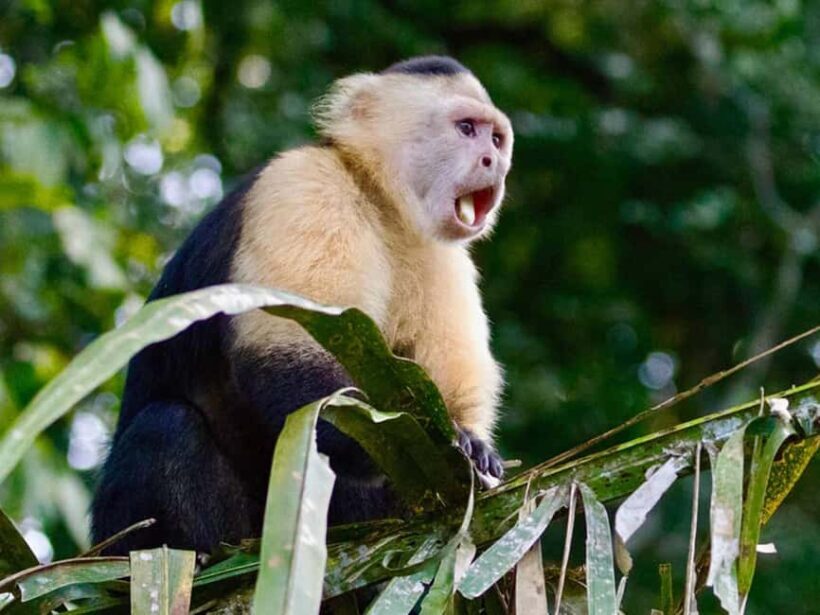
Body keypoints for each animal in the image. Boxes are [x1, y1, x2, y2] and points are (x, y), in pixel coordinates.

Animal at [91, 56, 514, 555]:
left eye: (496, 139)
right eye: (466, 129)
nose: (495, 162)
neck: (379, 197)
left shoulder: (443, 255)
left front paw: (469, 443)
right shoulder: (304, 185)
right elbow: (292, 349)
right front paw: (397, 440)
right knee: (165, 428)